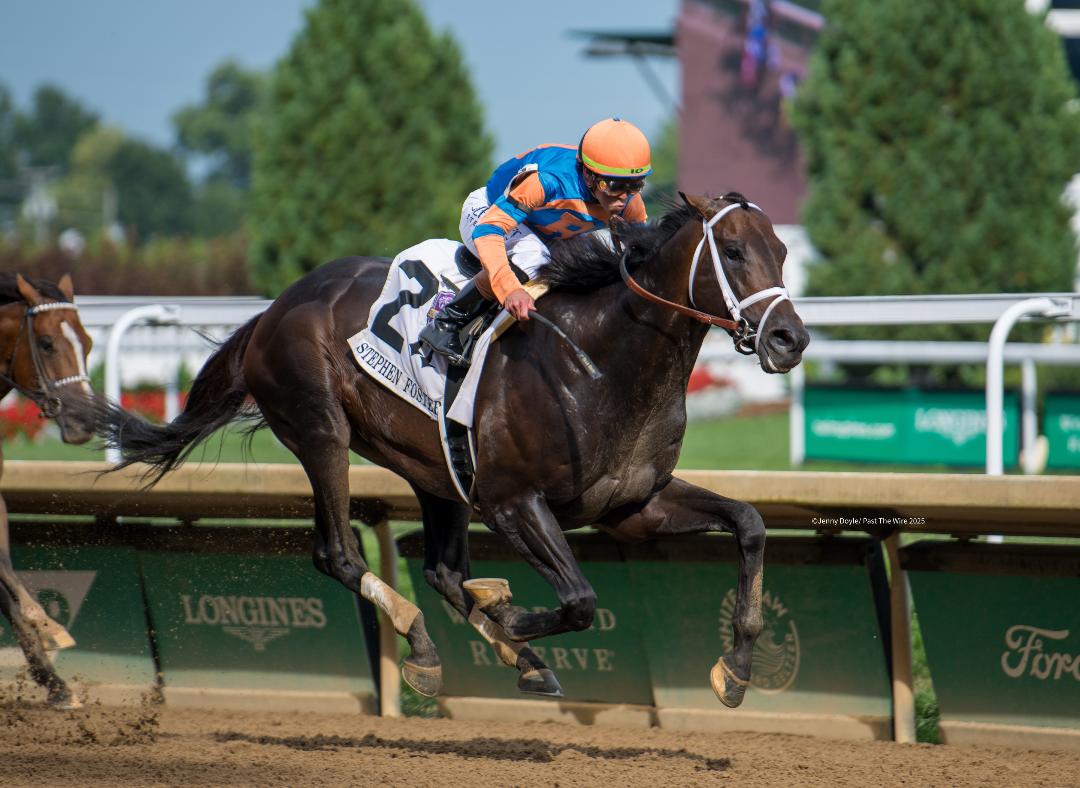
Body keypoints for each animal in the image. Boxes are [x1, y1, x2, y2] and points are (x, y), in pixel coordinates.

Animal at [98, 193, 808, 705]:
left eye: (781, 251)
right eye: (734, 251)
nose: (790, 339)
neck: (602, 361)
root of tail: (274, 308)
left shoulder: (634, 506)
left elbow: (749, 523)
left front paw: (736, 668)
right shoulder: (512, 499)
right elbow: (579, 601)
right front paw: (508, 618)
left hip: (434, 471)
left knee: (440, 569)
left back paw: (510, 653)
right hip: (321, 430)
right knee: (339, 554)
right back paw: (427, 647)